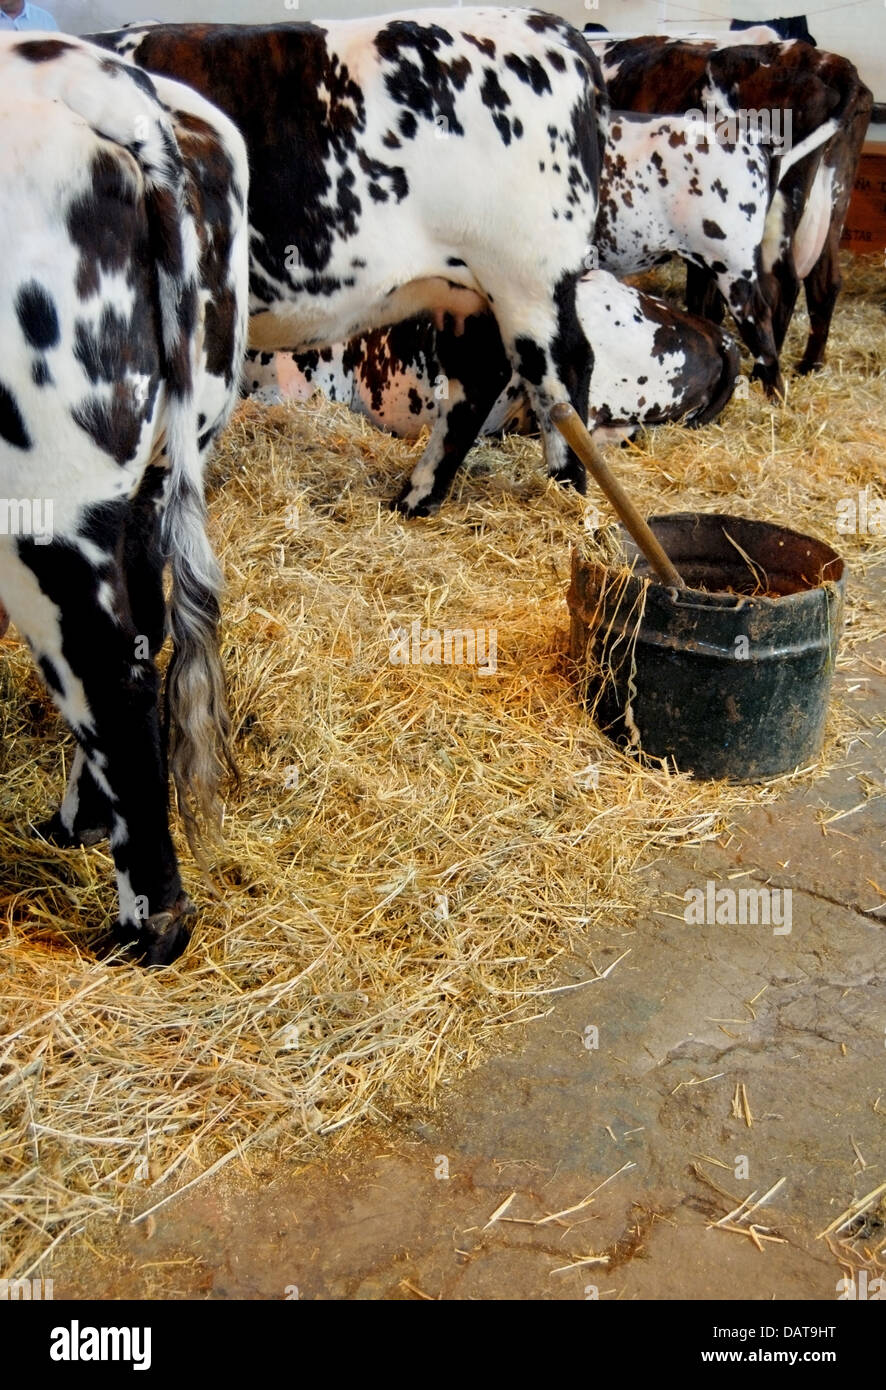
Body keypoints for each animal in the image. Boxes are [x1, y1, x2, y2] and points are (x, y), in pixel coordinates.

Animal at [0, 33, 250, 964]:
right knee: (143, 630)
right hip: (163, 460)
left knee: (110, 677)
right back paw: (80, 825)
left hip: (42, 512)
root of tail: (108, 86)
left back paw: (148, 925)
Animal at [89, 11, 607, 515]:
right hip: (466, 291)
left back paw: (566, 493)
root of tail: (556, 29)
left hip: (528, 276)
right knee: (479, 375)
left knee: (562, 367)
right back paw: (417, 497)